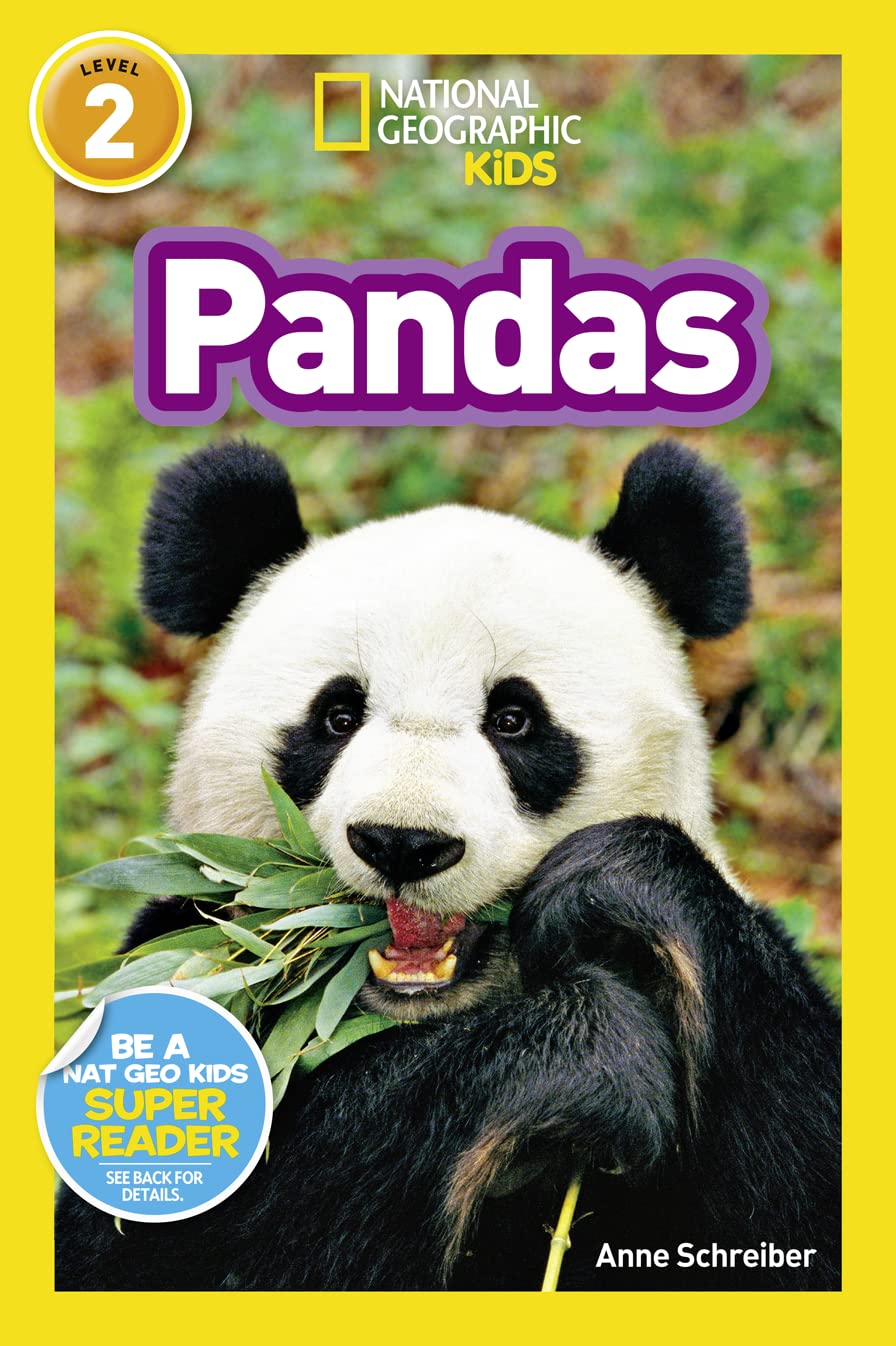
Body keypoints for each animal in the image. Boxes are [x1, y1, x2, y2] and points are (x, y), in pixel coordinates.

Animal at [55, 438, 840, 1291]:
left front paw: (616, 885)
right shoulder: (188, 955)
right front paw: (586, 1051)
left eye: (515, 719)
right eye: (337, 716)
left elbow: (799, 1196)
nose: (403, 841)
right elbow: (167, 1233)